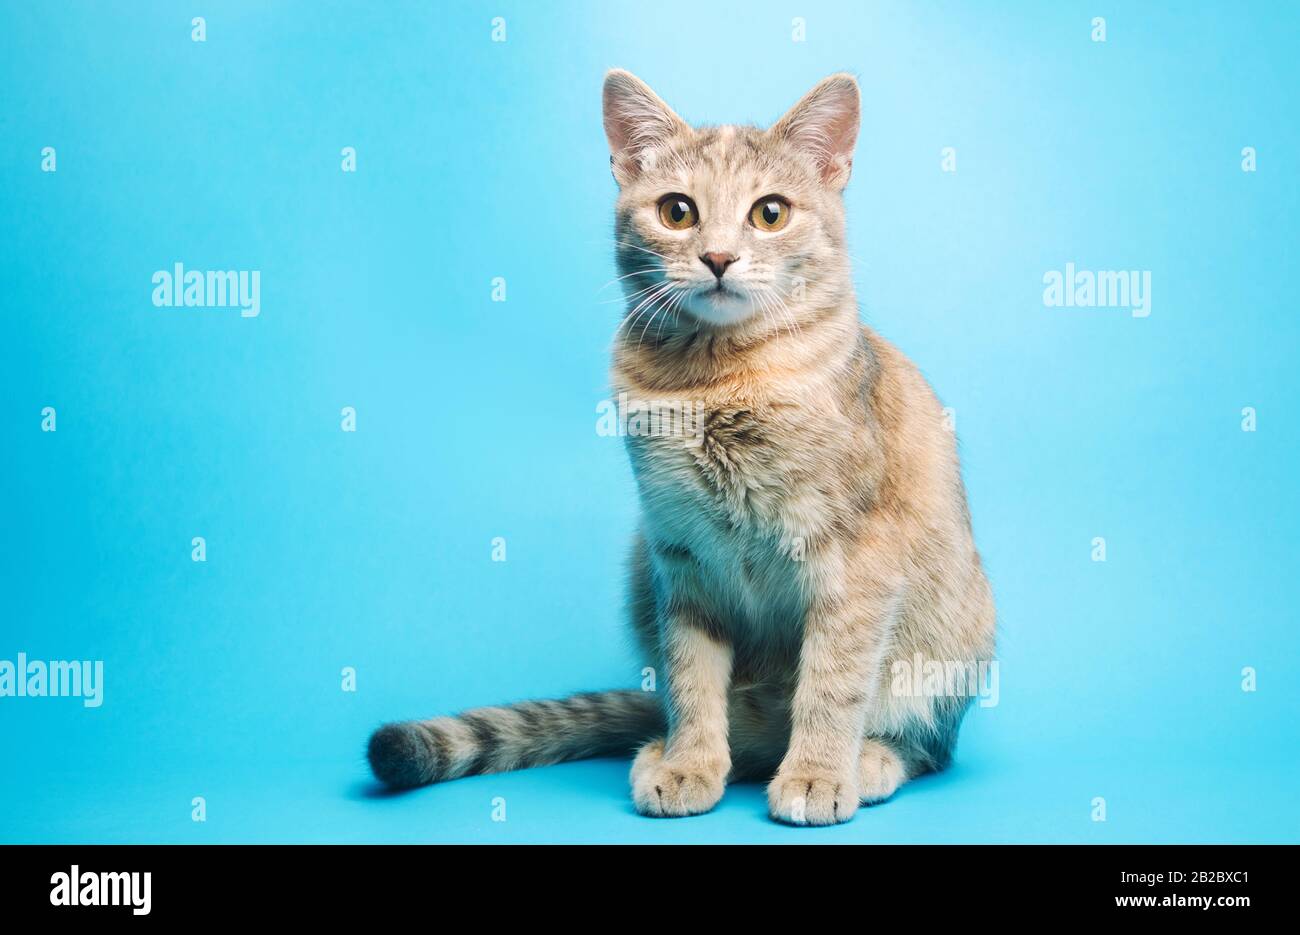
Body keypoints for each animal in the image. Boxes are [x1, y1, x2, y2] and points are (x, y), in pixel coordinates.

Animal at [367, 70, 996, 825]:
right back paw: (663, 751)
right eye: (676, 211)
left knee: (925, 743)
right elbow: (690, 677)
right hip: (643, 570)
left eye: (770, 214)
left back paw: (866, 761)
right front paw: (690, 763)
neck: (715, 382)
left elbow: (833, 680)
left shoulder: (855, 560)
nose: (718, 257)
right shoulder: (682, 557)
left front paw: (817, 773)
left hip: (956, 635)